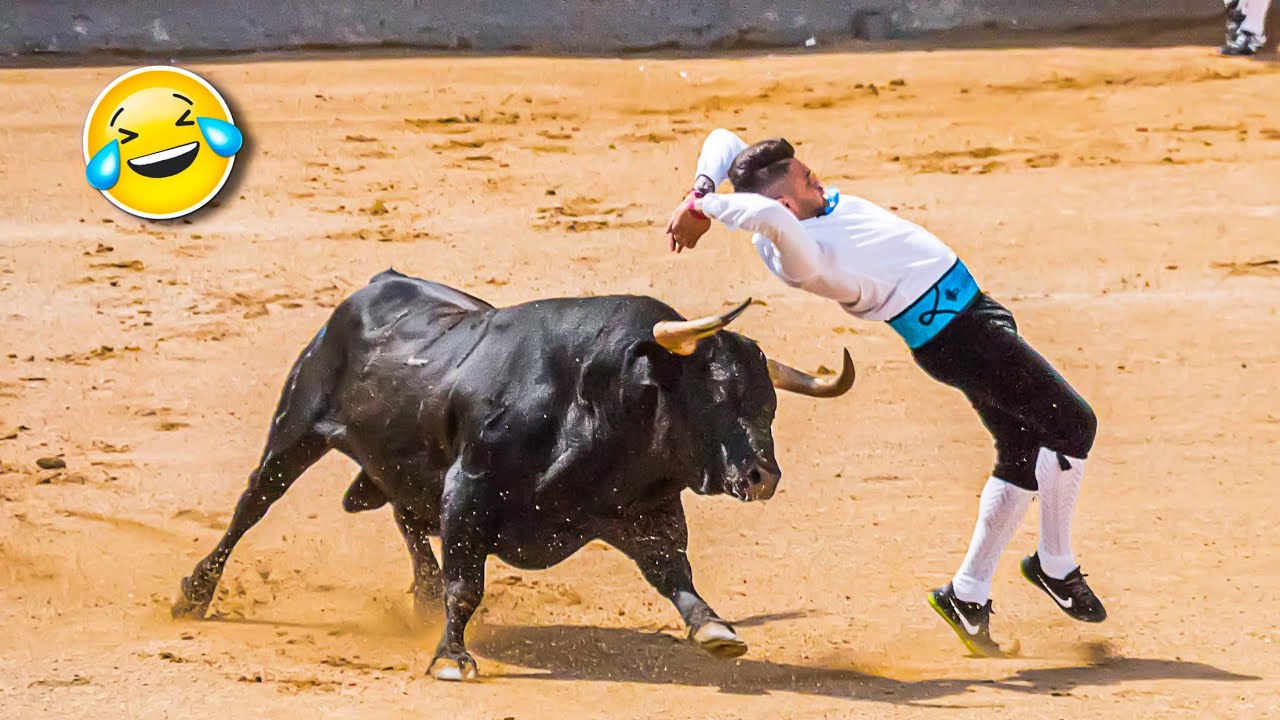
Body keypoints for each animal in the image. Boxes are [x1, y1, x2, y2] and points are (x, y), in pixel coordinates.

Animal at [171, 269, 854, 681]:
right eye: (713, 396)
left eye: (768, 404)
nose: (763, 475)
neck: (599, 399)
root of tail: (372, 286)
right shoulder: (468, 491)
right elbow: (465, 585)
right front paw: (451, 657)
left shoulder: (645, 508)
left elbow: (673, 572)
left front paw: (715, 628)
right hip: (294, 430)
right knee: (250, 508)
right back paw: (194, 595)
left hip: (403, 467)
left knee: (405, 517)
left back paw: (418, 601)